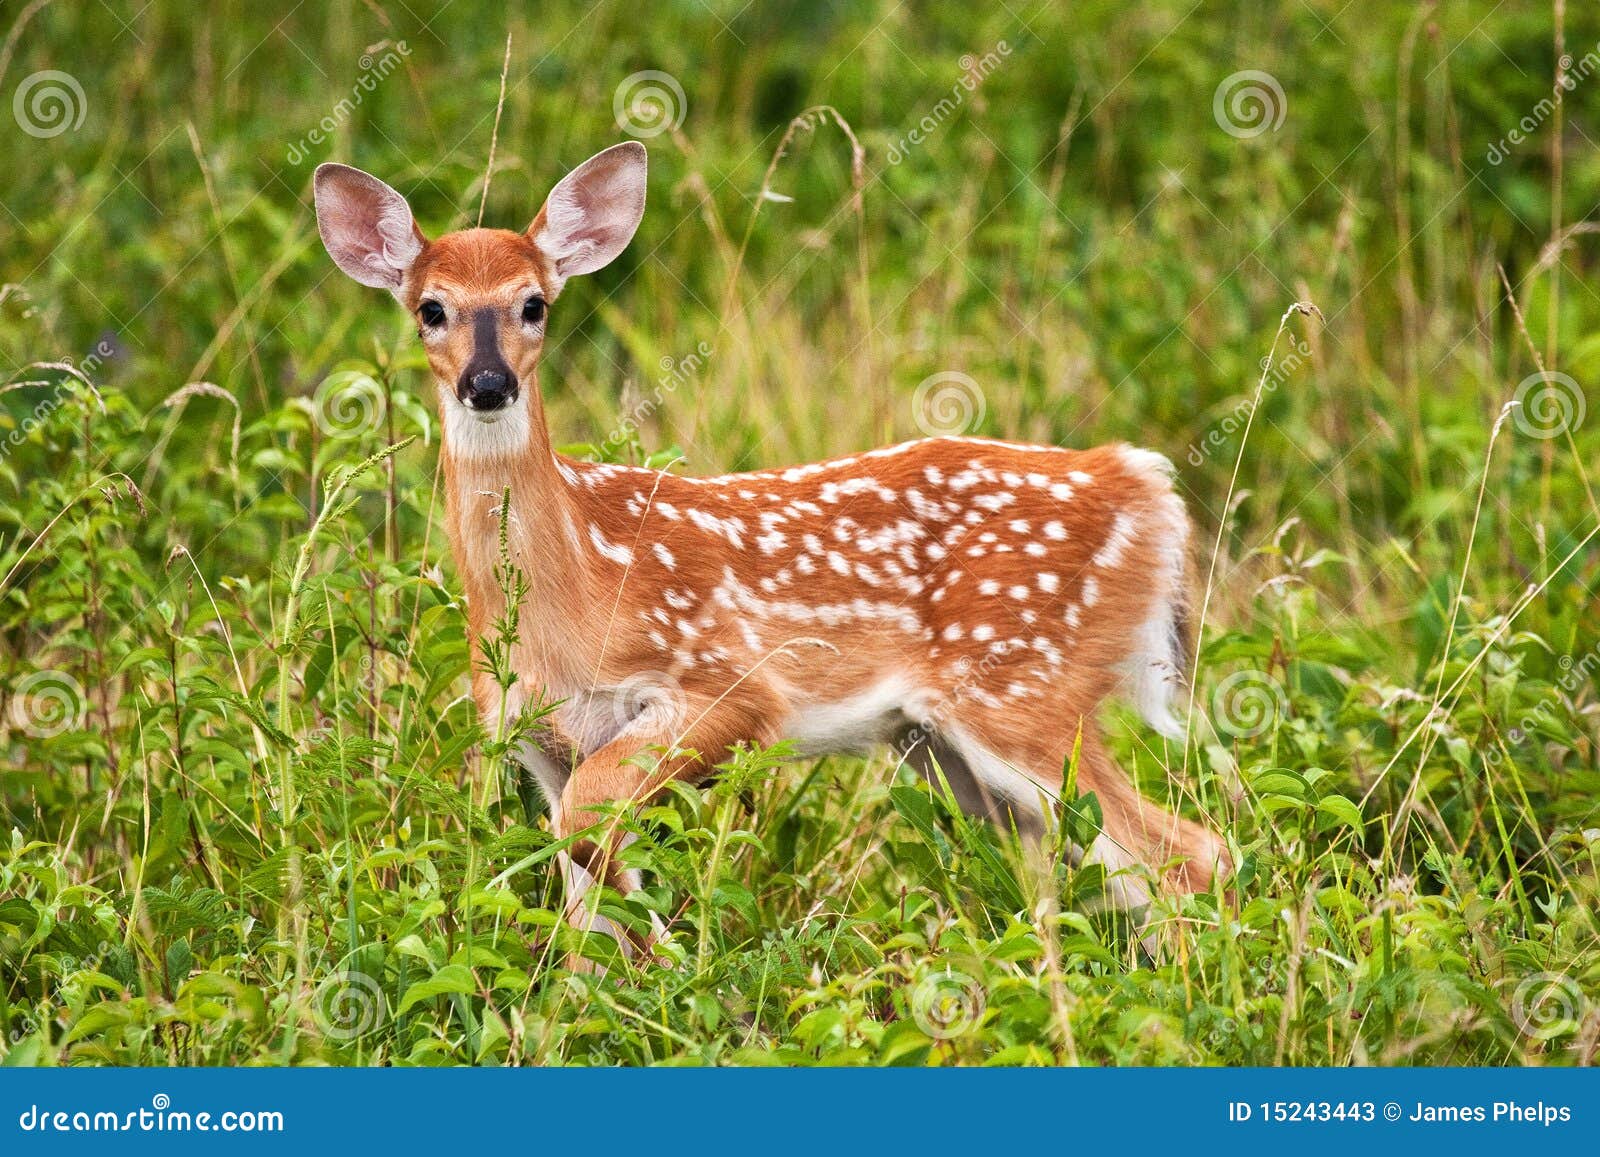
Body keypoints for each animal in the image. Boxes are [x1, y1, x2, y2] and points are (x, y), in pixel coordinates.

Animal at [313, 141, 1229, 964]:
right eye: (431, 309)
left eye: (533, 302)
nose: (489, 384)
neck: (570, 595)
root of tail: (1140, 482)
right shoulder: (535, 737)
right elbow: (581, 896)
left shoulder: (728, 684)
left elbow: (592, 833)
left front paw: (669, 967)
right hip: (947, 748)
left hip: (1025, 688)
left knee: (1191, 852)